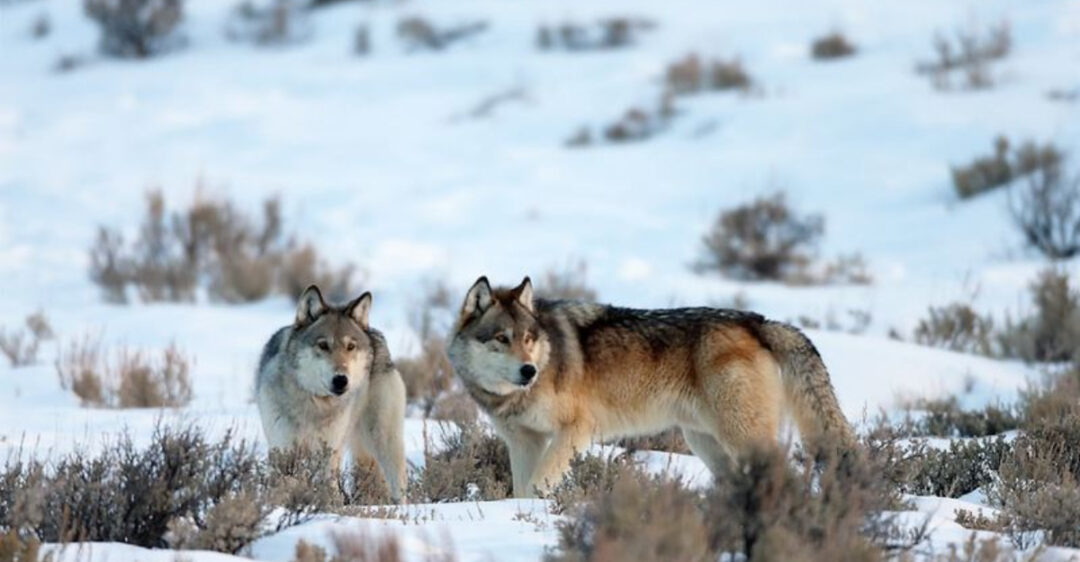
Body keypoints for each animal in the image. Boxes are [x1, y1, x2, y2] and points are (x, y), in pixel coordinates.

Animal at [256, 285, 407, 502]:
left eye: (350, 347)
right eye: (323, 345)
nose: (341, 380)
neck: (315, 403)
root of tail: (372, 333)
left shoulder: (327, 454)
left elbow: (328, 491)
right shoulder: (283, 450)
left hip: (383, 439)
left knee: (398, 484)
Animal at [447, 276, 855, 498]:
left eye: (529, 339)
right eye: (501, 338)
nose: (528, 370)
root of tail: (758, 321)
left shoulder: (576, 430)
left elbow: (538, 485)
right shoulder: (523, 441)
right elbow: (520, 490)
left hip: (739, 436)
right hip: (705, 443)